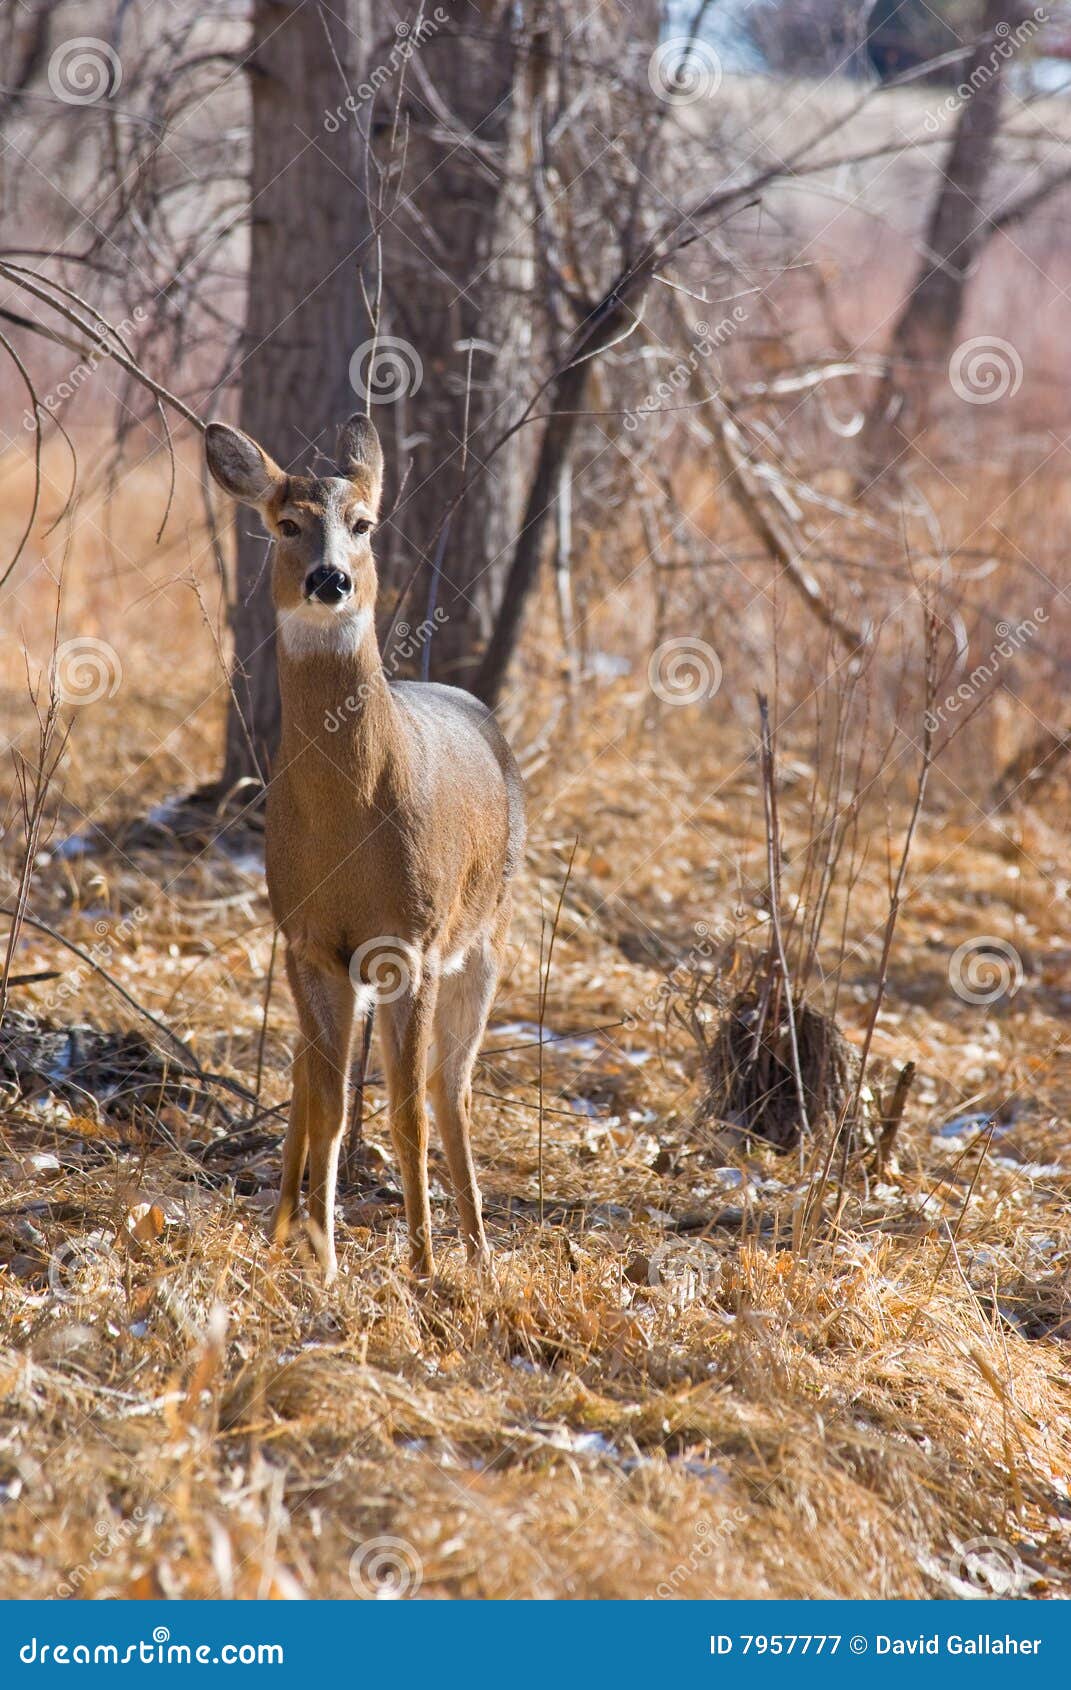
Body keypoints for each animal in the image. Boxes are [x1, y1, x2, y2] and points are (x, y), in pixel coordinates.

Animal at [205, 413, 526, 1282]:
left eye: (363, 524)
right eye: (286, 523)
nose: (330, 581)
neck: (347, 826)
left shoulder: (407, 941)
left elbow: (405, 1110)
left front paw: (421, 1267)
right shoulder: (309, 942)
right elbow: (327, 1106)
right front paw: (320, 1261)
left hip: (482, 939)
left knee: (451, 1088)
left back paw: (477, 1249)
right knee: (308, 1076)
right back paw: (285, 1228)